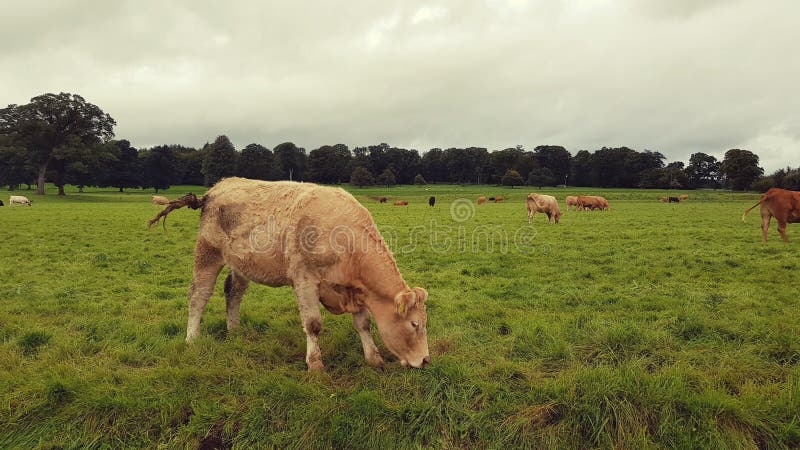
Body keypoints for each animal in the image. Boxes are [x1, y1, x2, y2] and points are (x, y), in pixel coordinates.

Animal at [148, 178, 430, 371]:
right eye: (414, 324)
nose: (426, 360)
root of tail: (215, 190)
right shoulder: (304, 280)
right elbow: (313, 325)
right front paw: (315, 364)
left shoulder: (355, 289)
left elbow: (363, 324)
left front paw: (374, 359)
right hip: (207, 253)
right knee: (199, 295)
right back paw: (192, 338)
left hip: (241, 264)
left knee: (233, 293)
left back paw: (235, 331)